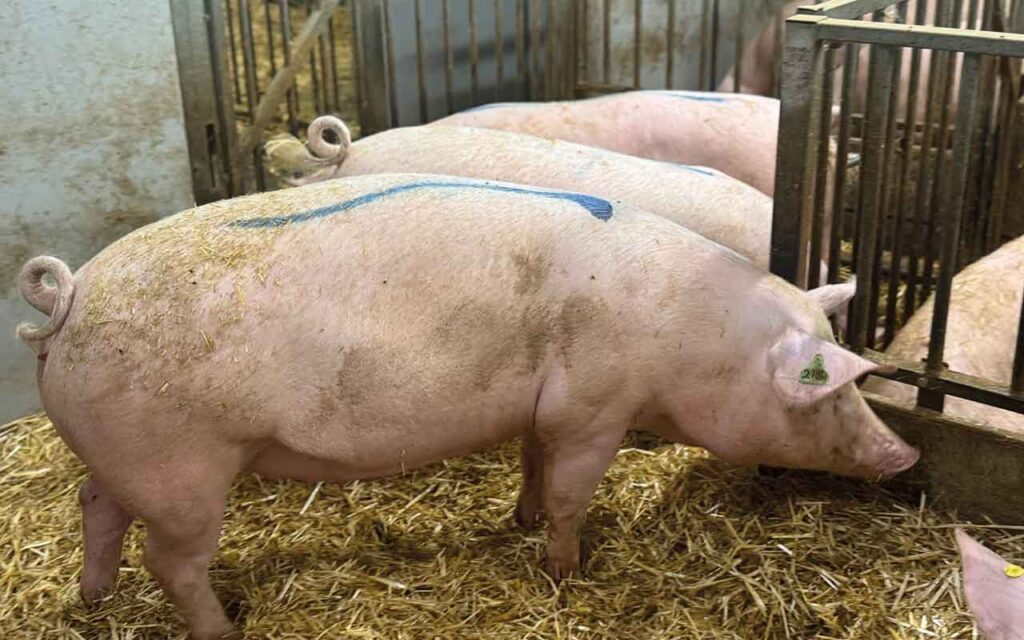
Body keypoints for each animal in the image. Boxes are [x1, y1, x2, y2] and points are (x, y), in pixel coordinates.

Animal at [17, 173, 919, 638]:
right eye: (831, 389)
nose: (905, 455)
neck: (694, 336)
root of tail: (69, 297)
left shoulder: (541, 408)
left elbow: (531, 462)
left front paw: (521, 520)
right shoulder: (596, 408)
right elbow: (572, 491)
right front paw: (566, 570)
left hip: (125, 460)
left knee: (94, 504)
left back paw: (93, 598)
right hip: (181, 470)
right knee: (171, 561)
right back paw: (223, 630)